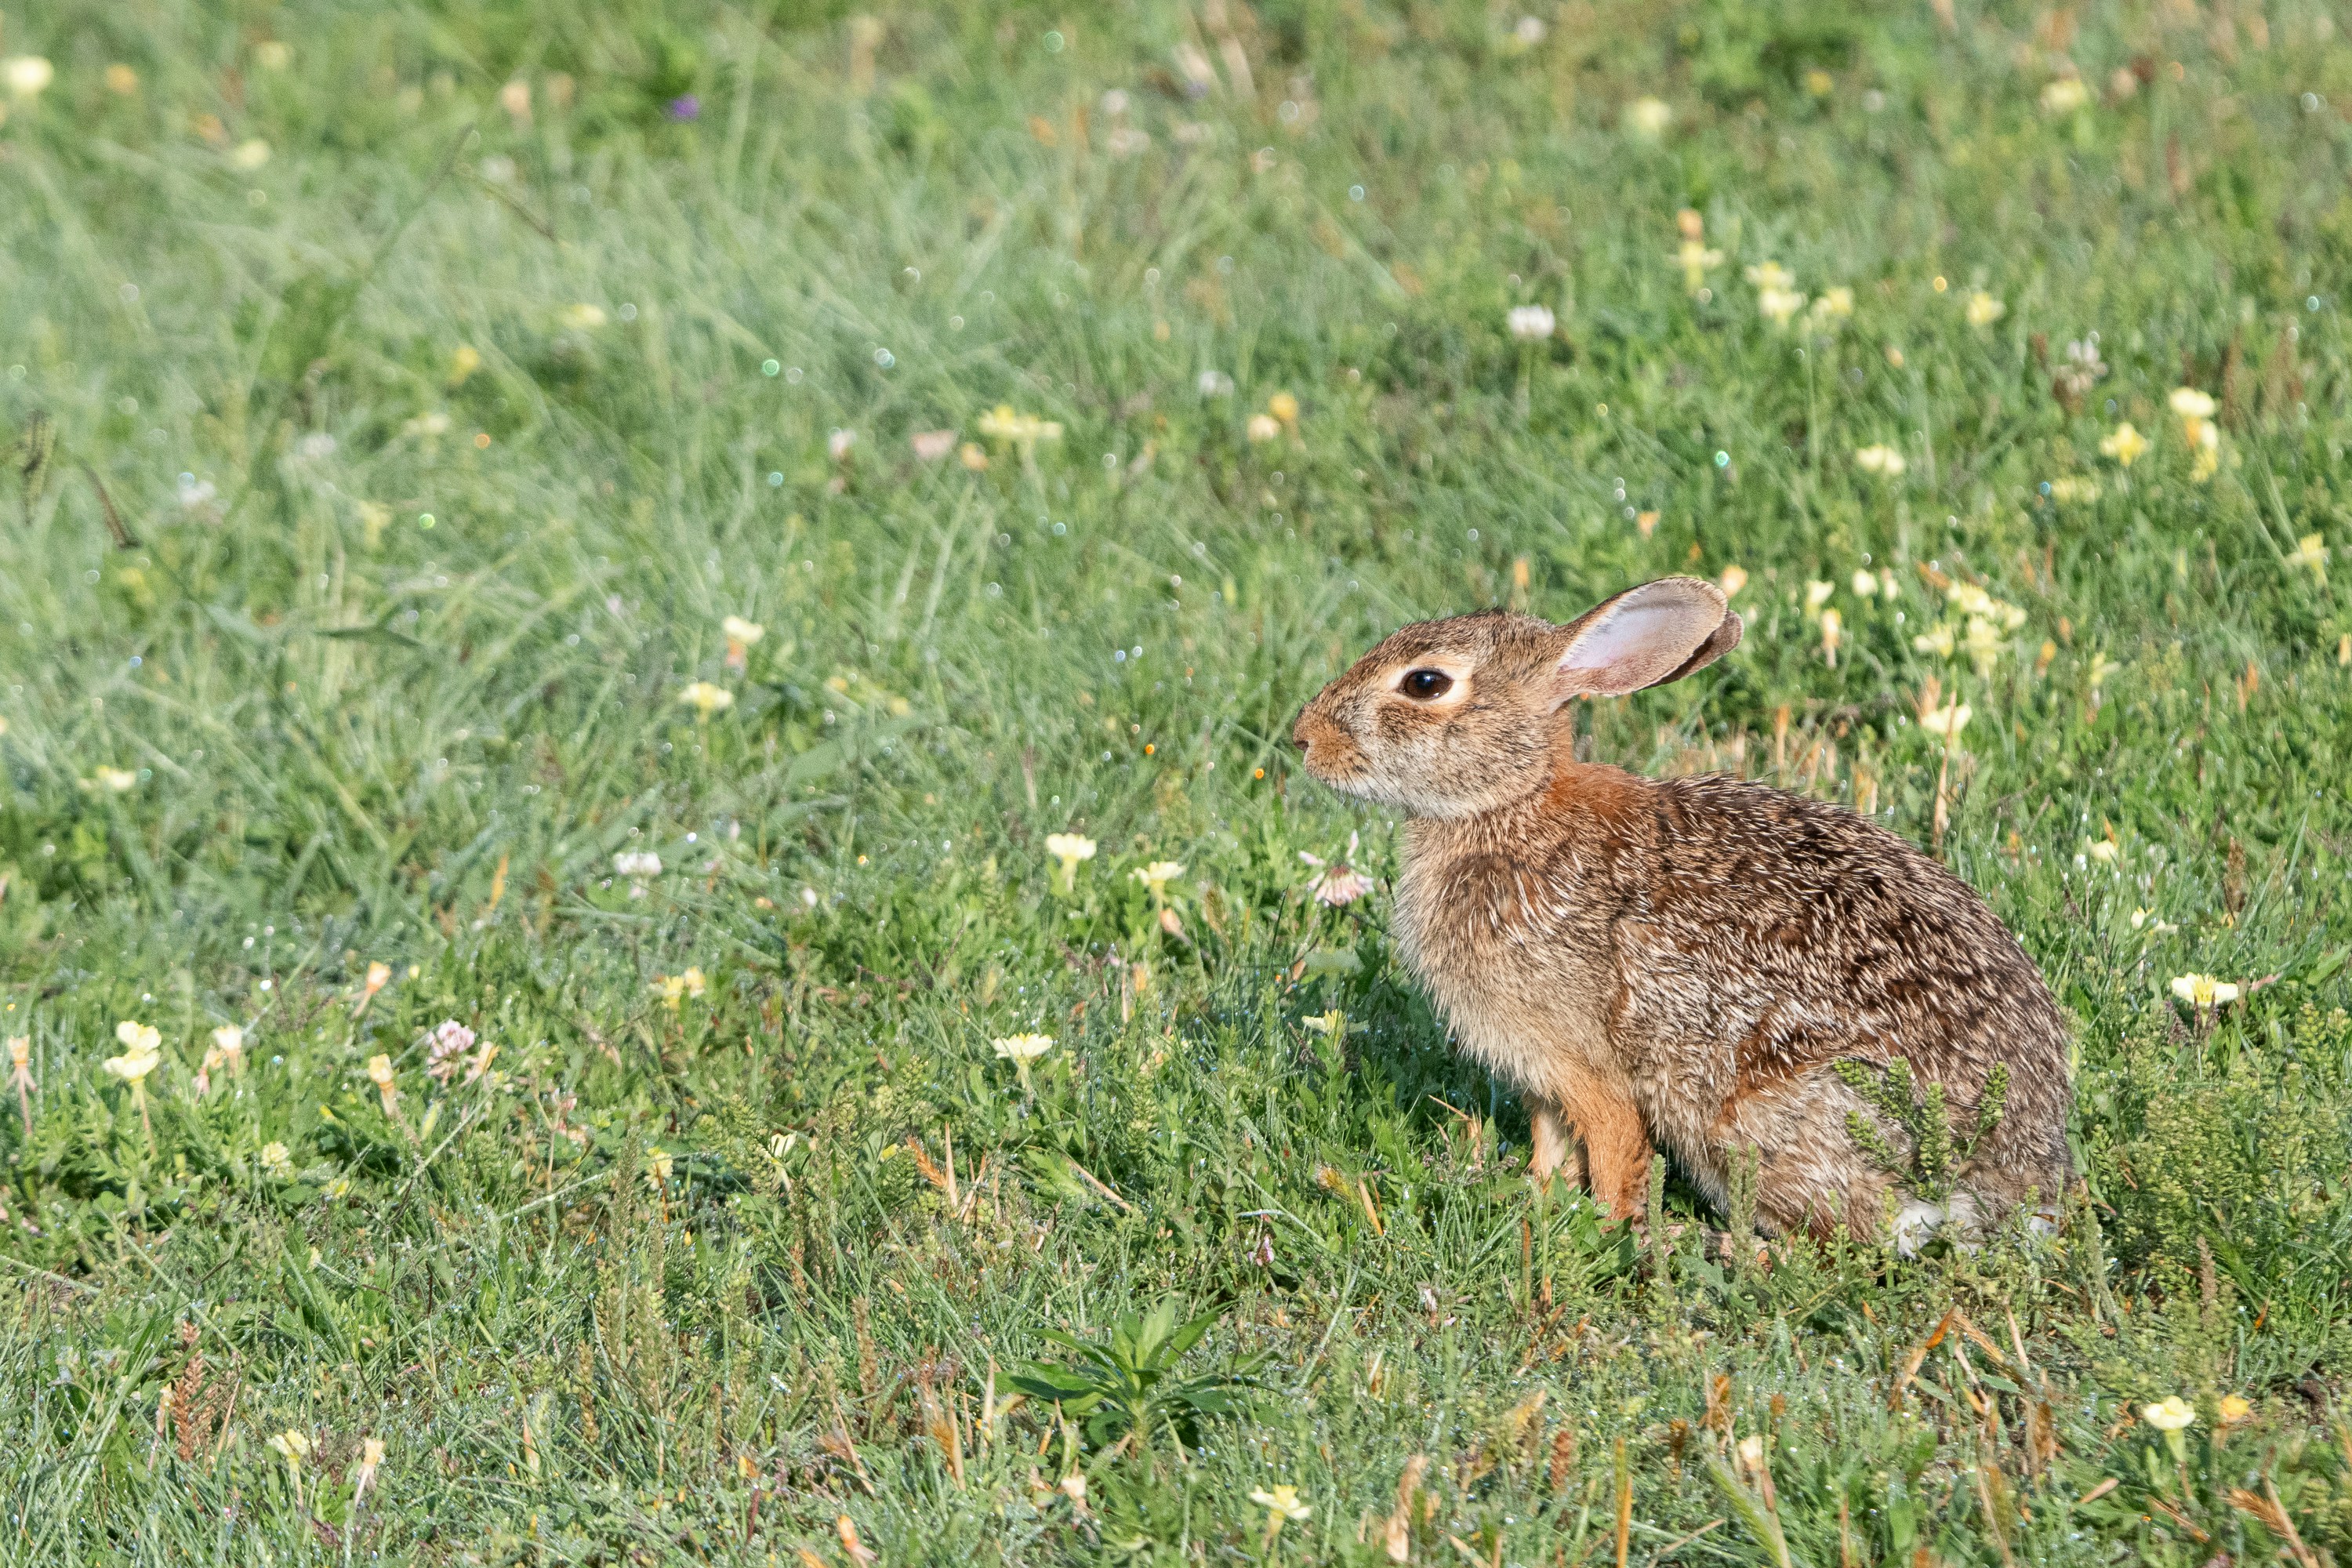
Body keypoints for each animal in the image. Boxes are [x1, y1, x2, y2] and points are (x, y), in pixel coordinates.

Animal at [1290, 576, 2071, 1246]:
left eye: (1425, 683)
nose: (1302, 738)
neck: (1509, 804)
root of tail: (2006, 1178)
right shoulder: (1542, 1077)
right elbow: (1552, 1146)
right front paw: (1535, 1200)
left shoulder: (1587, 1064)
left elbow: (1617, 1147)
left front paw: (1605, 1230)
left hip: (1756, 1116)